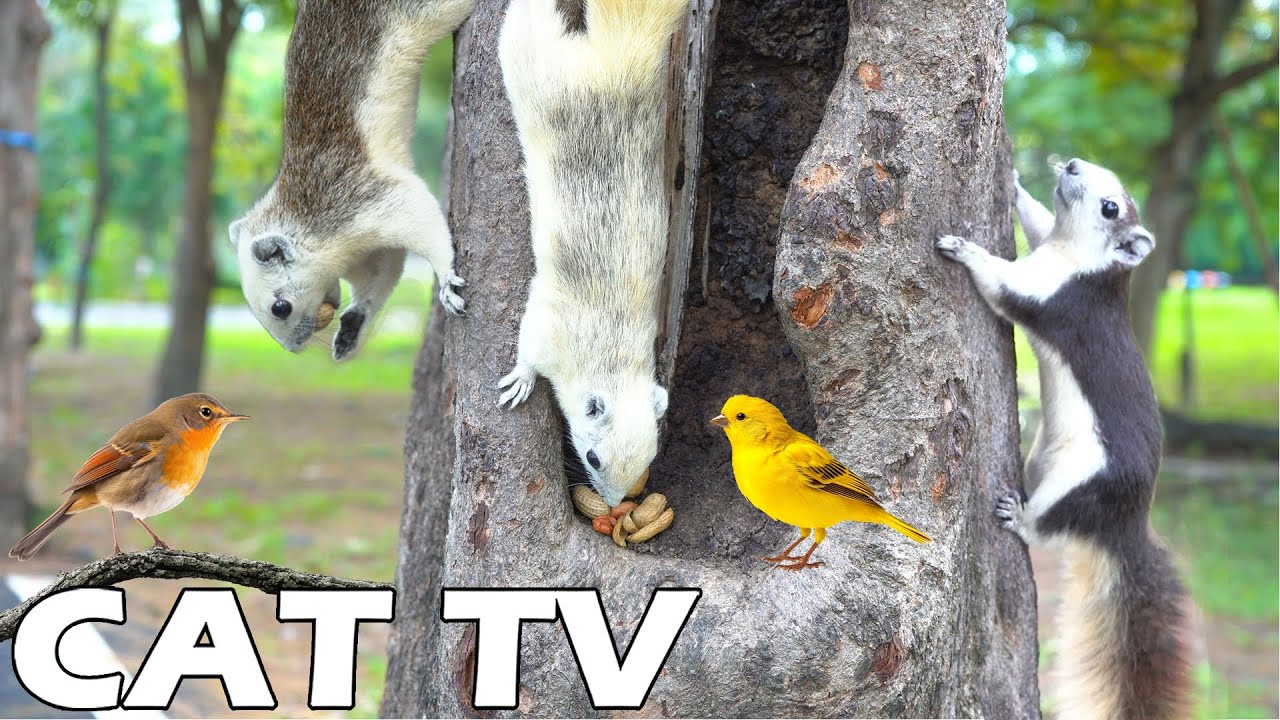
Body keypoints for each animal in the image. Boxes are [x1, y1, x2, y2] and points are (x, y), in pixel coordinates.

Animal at [229, 0, 473, 361]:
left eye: (280, 307)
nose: (293, 349)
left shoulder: (361, 198)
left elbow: (423, 220)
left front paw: (446, 279)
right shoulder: (371, 252)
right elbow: (381, 276)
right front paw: (352, 325)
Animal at [495, 0, 689, 505]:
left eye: (648, 459)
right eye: (593, 458)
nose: (614, 504)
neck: (611, 354)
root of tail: (622, 60)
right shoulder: (549, 331)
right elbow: (528, 350)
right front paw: (520, 380)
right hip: (532, 64)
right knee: (526, 22)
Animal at [936, 159, 1191, 719]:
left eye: (1112, 207)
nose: (1072, 164)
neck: (1082, 262)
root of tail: (1126, 523)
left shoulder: (1052, 295)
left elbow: (1002, 285)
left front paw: (965, 249)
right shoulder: (1044, 247)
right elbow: (1034, 221)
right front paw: (1014, 183)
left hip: (1081, 480)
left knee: (1051, 528)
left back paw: (1021, 518)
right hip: (1040, 459)